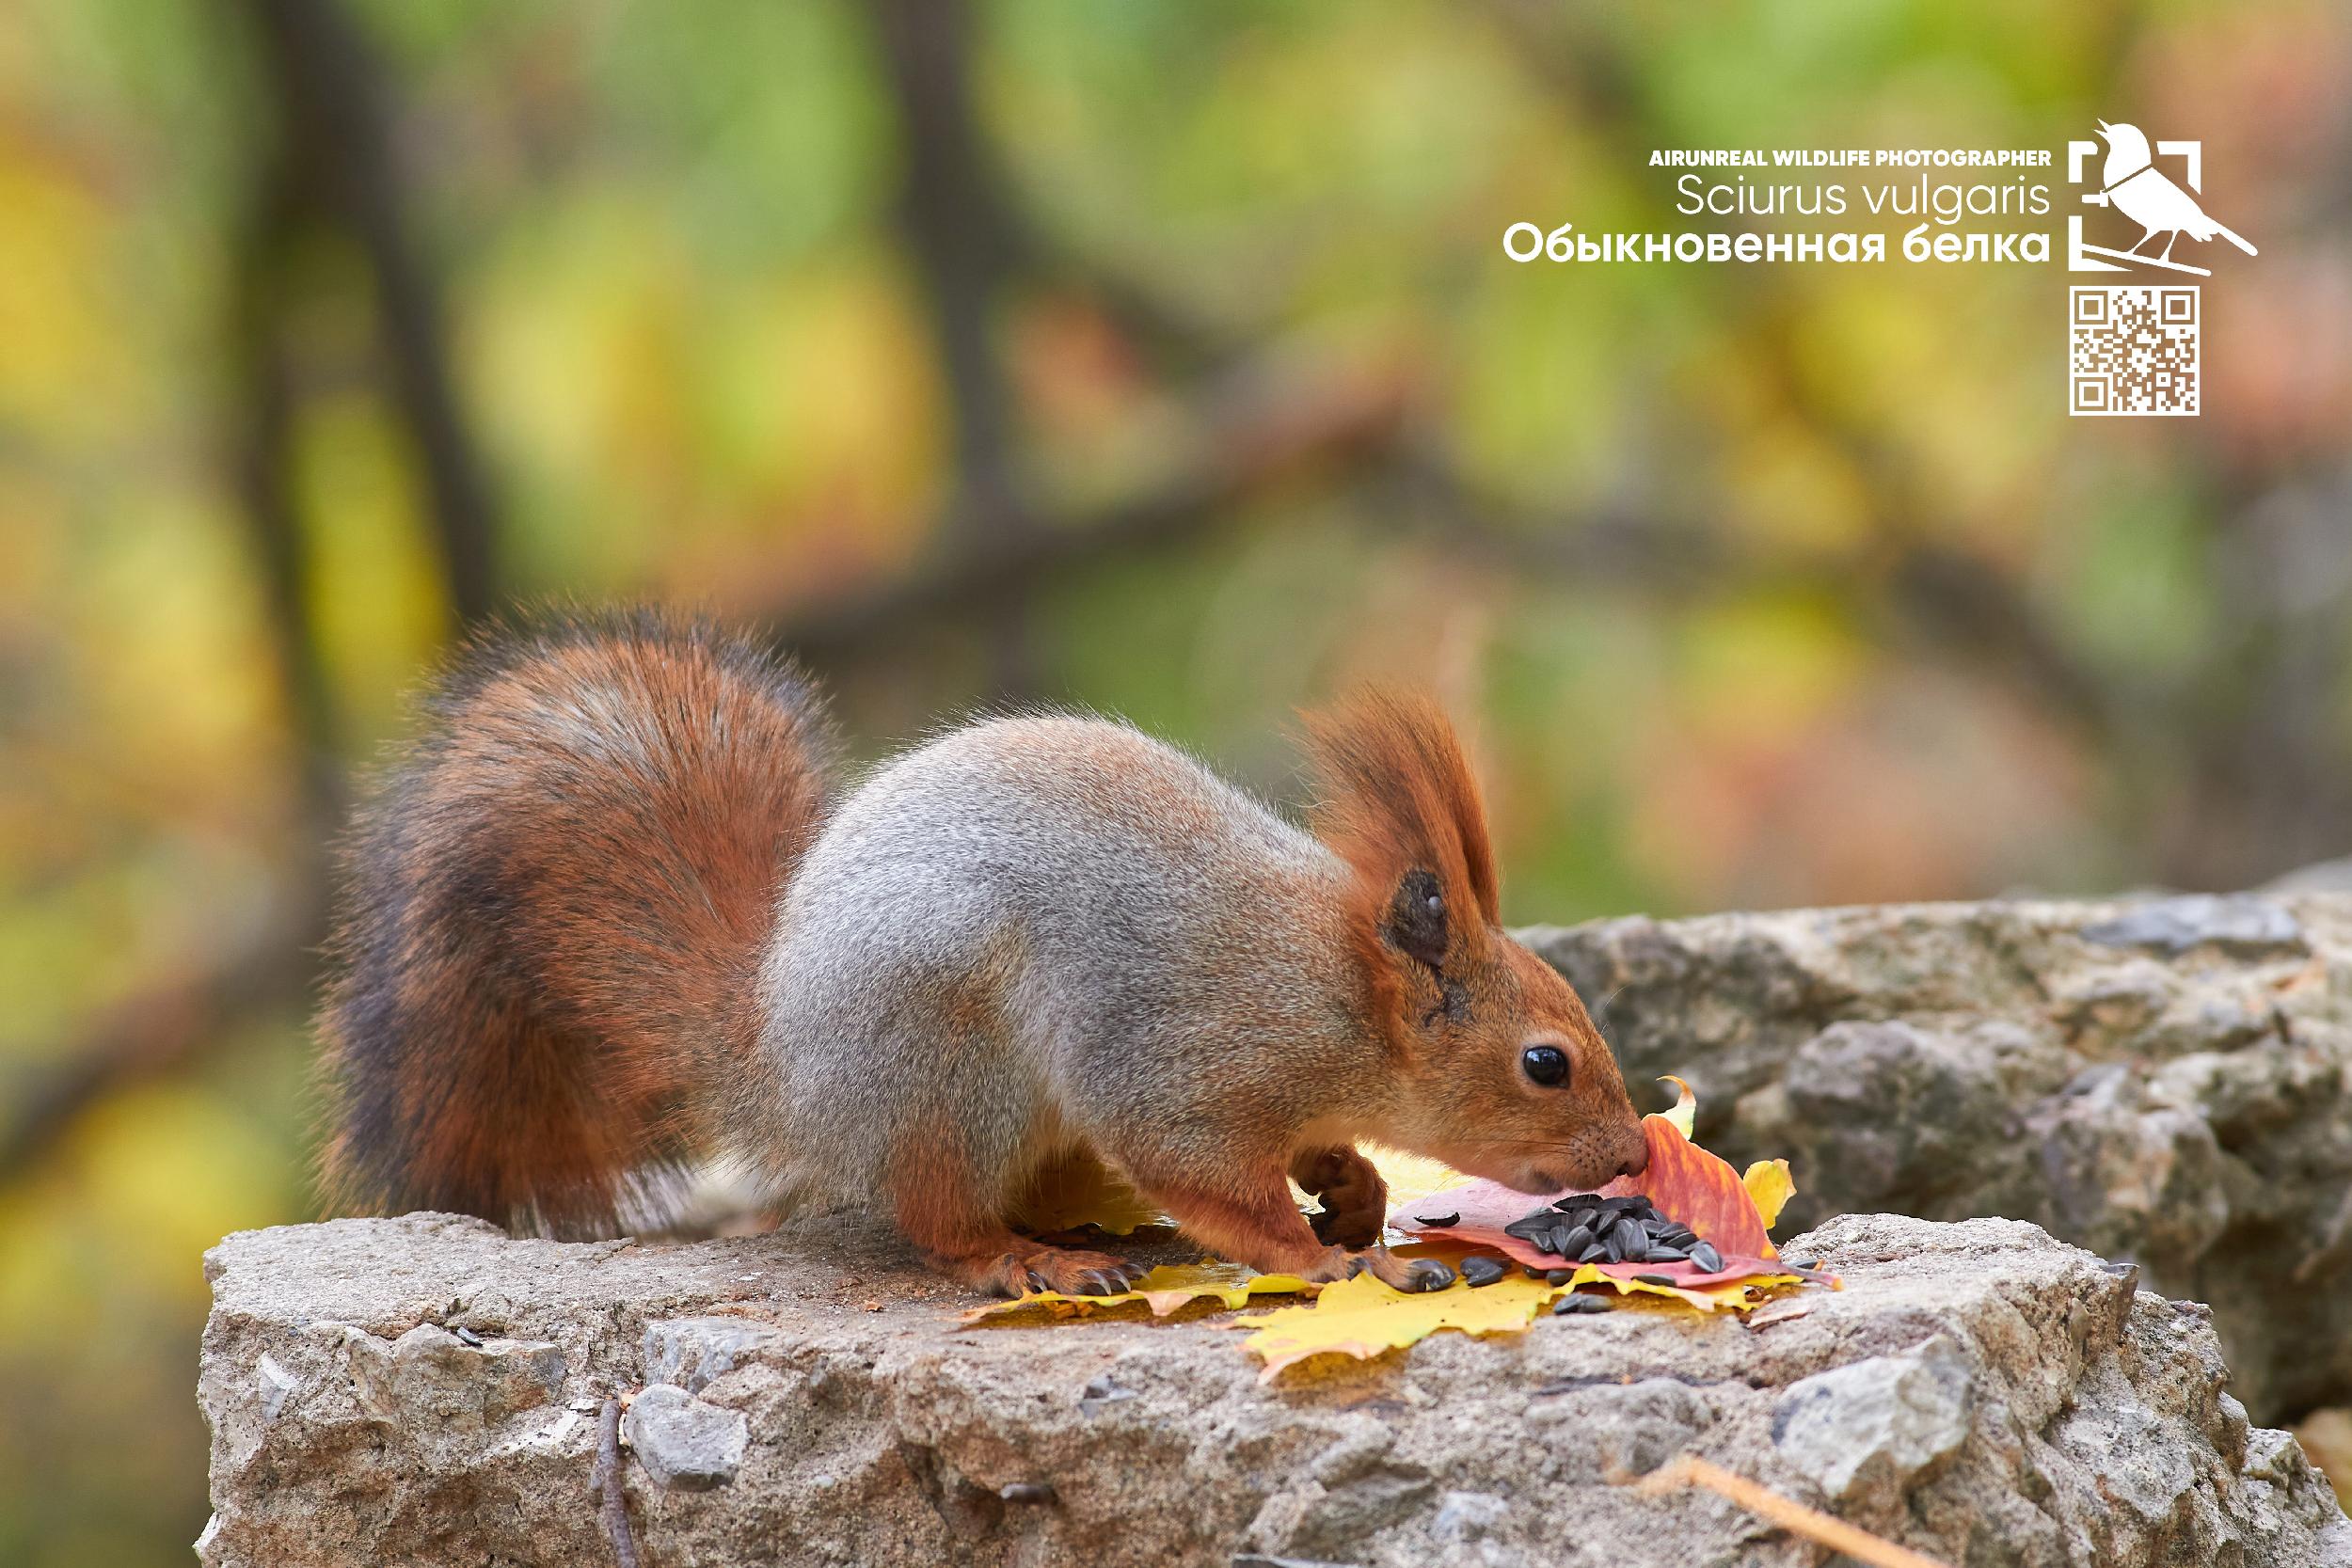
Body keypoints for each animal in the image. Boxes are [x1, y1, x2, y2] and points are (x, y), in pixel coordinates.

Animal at [317, 610, 1656, 1297]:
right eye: (1545, 1062)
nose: (1638, 1155)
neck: (1335, 997)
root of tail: (779, 1064)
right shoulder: (1182, 1057)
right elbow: (1201, 1174)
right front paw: (1311, 1254)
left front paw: (1356, 1185)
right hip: (947, 1072)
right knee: (938, 1217)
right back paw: (1026, 1259)